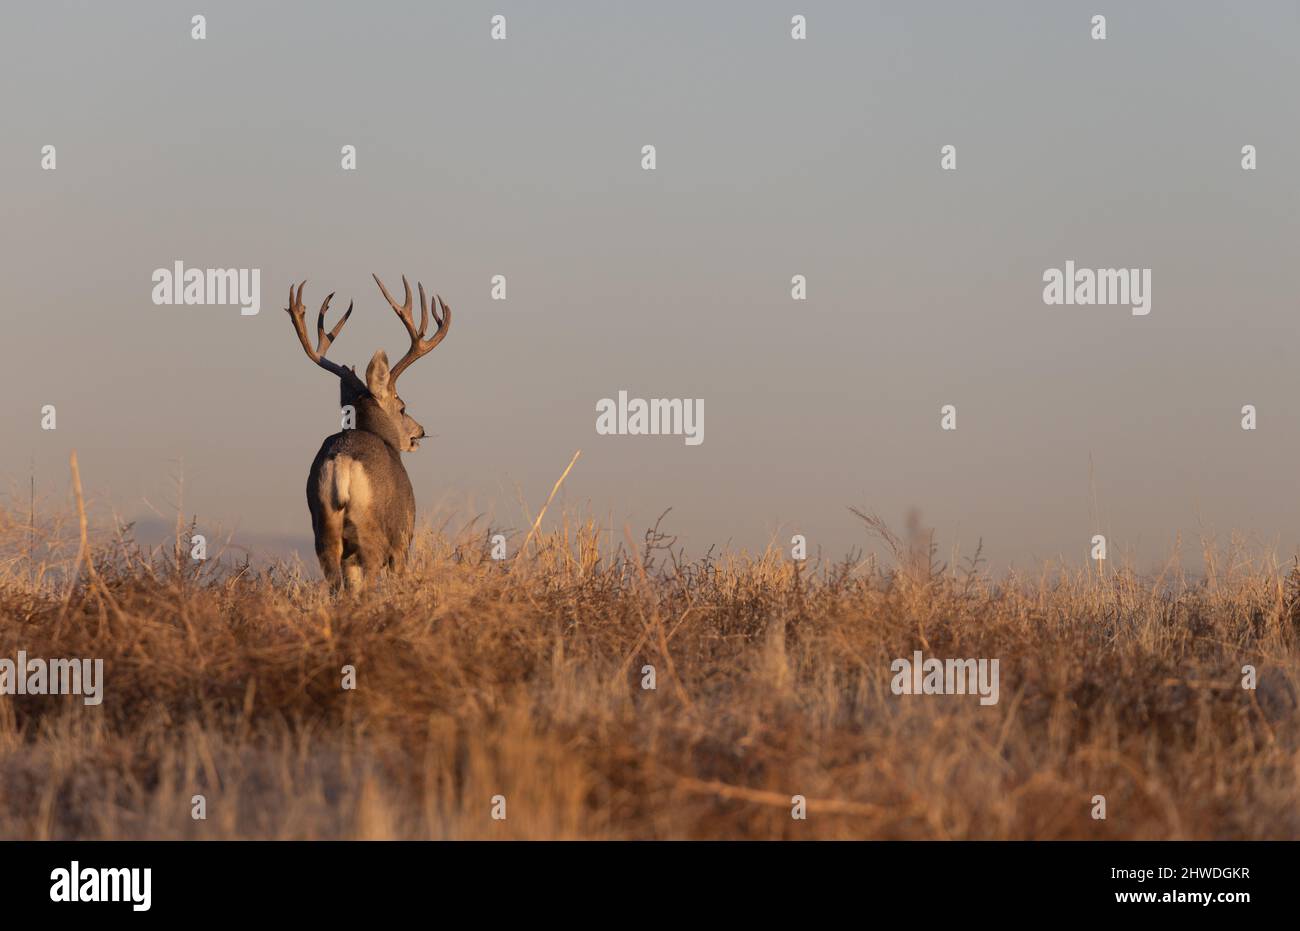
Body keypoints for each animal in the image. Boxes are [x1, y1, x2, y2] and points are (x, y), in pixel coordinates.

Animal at [284, 274, 451, 590]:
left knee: (336, 583)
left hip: (324, 529)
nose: (419, 431)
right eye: (402, 406)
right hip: (372, 533)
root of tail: (342, 462)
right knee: (368, 583)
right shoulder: (402, 538)